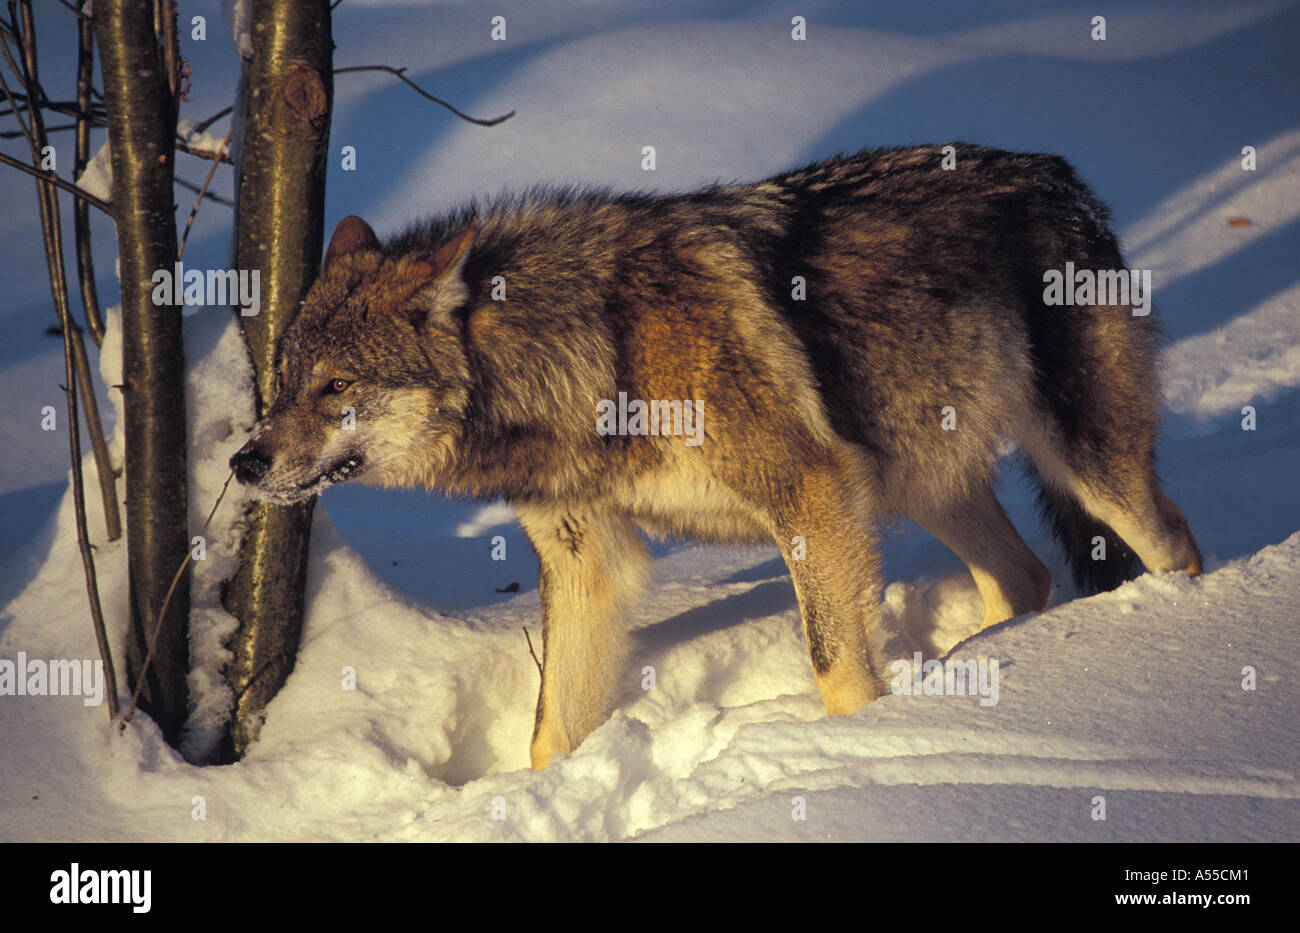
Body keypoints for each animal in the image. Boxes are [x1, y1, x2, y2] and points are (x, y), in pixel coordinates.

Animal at [230, 144, 1202, 769]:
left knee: (1172, 543)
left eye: (335, 386)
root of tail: (1062, 176)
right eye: (280, 383)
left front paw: (851, 752)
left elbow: (835, 666)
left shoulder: (809, 494)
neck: (597, 355)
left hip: (1086, 468)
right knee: (1025, 577)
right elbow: (550, 733)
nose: (243, 463)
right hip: (913, 476)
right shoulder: (588, 559)